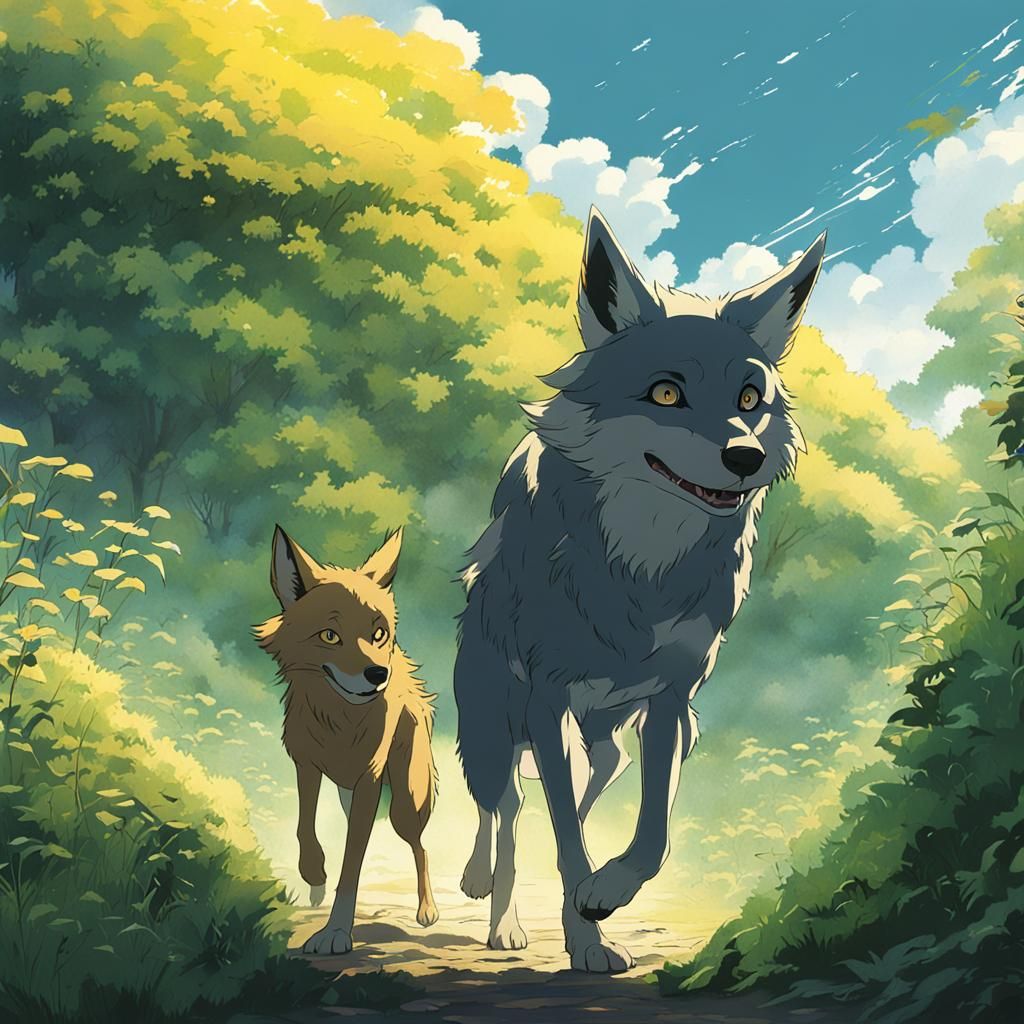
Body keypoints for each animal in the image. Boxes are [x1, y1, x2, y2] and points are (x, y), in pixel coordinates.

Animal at [255, 527, 438, 955]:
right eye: (330, 635)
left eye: (378, 634)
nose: (378, 674)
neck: (338, 724)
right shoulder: (306, 765)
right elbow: (305, 828)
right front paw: (314, 877)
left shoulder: (368, 783)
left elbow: (352, 864)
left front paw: (336, 932)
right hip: (347, 795)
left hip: (405, 803)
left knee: (420, 845)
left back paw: (426, 910)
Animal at [454, 206, 825, 972]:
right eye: (666, 393)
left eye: (750, 399)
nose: (744, 456)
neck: (641, 567)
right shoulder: (546, 700)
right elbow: (556, 838)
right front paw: (587, 942)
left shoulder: (672, 703)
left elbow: (650, 835)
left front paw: (602, 895)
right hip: (497, 722)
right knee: (503, 811)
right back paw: (496, 911)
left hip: (612, 734)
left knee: (584, 783)